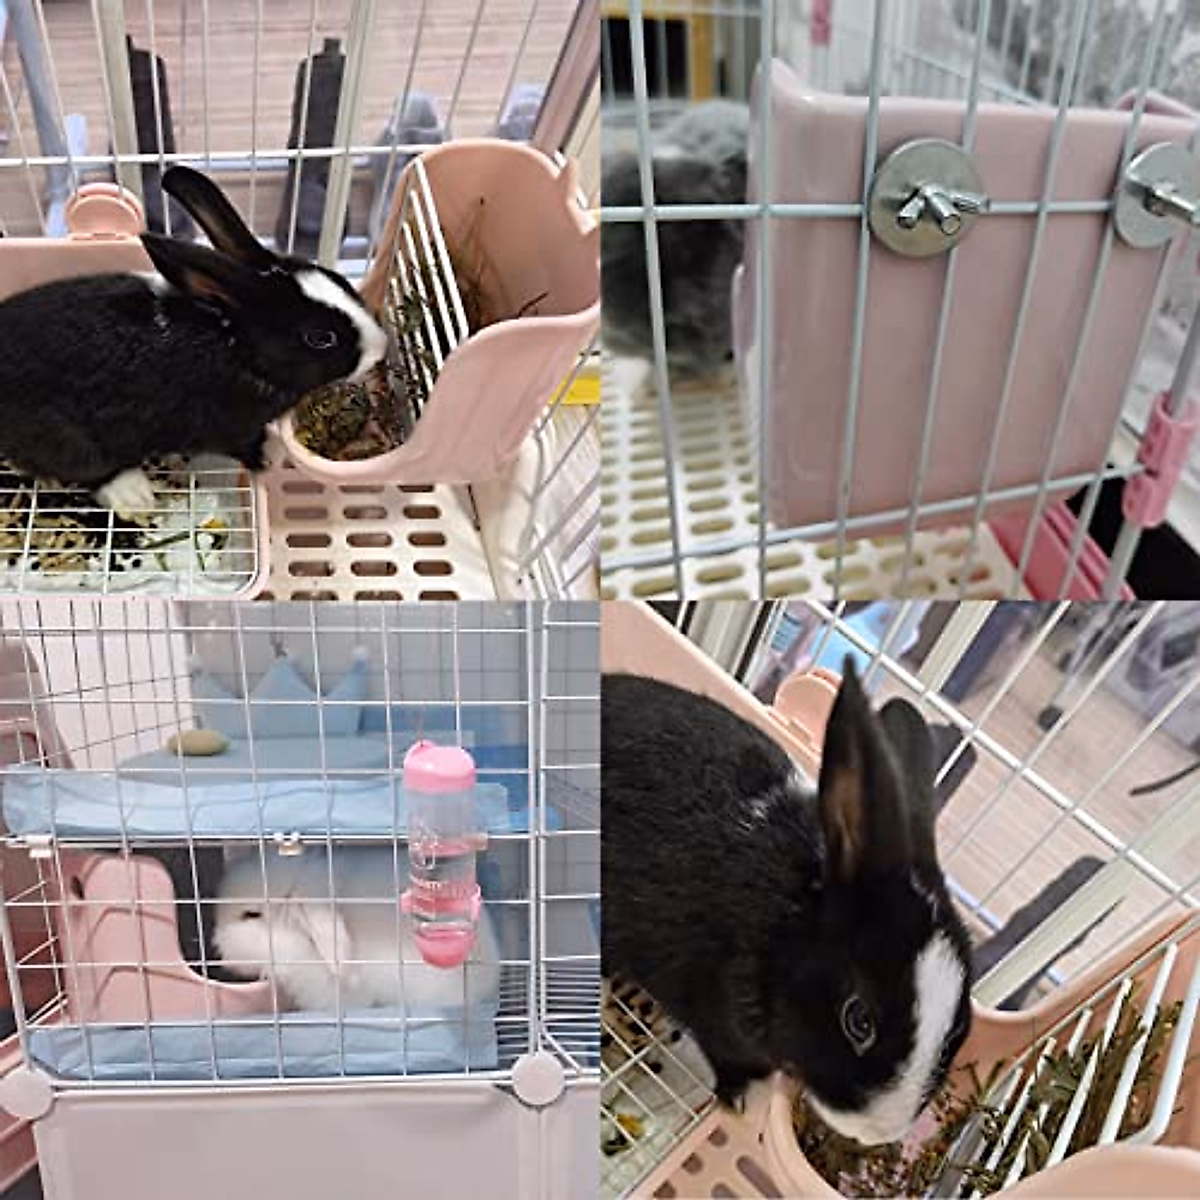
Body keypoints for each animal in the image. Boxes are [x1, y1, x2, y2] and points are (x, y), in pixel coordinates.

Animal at [0, 165, 387, 517]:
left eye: (341, 280)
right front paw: (268, 459)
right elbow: (246, 446)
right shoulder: (229, 426)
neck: (235, 344)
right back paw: (134, 496)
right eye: (320, 338)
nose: (381, 349)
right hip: (72, 439)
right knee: (89, 470)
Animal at [601, 662, 973, 1147]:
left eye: (959, 1029)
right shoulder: (716, 1018)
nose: (879, 1132)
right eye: (859, 1021)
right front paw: (739, 1099)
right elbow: (731, 1059)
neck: (786, 926)